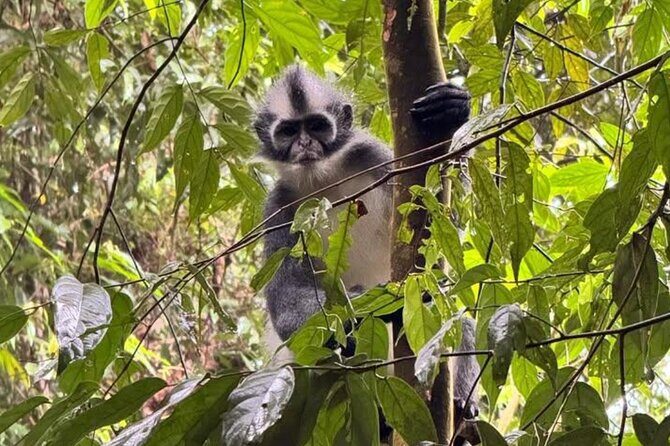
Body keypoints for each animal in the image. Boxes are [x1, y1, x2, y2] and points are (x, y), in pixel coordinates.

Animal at [254, 64, 478, 442]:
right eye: (287, 131)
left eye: (317, 126)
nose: (304, 144)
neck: (325, 182)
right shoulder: (277, 210)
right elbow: (286, 305)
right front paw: (380, 302)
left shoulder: (378, 160)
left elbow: (449, 227)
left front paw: (450, 111)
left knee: (458, 317)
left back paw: (462, 408)